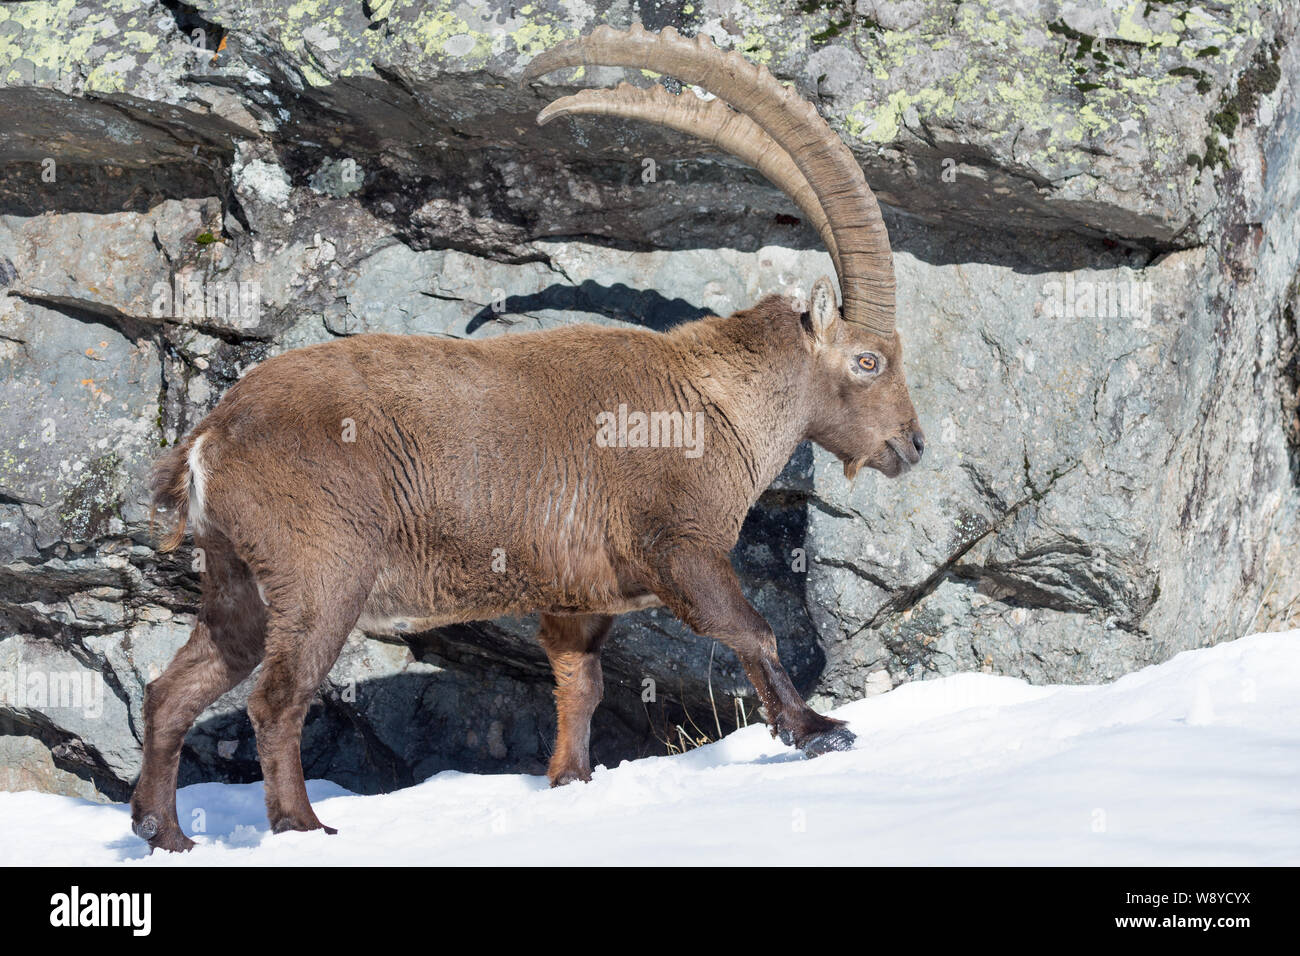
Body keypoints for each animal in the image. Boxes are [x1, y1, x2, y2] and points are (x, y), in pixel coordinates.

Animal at [131, 24, 925, 852]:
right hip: (322, 572)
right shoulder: (680, 548)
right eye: (869, 361)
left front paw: (569, 781)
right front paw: (819, 730)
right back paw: (302, 826)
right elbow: (752, 630)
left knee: (172, 690)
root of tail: (211, 438)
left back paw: (167, 834)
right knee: (276, 697)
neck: (714, 402)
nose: (912, 445)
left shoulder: (581, 596)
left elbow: (581, 686)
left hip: (237, 581)